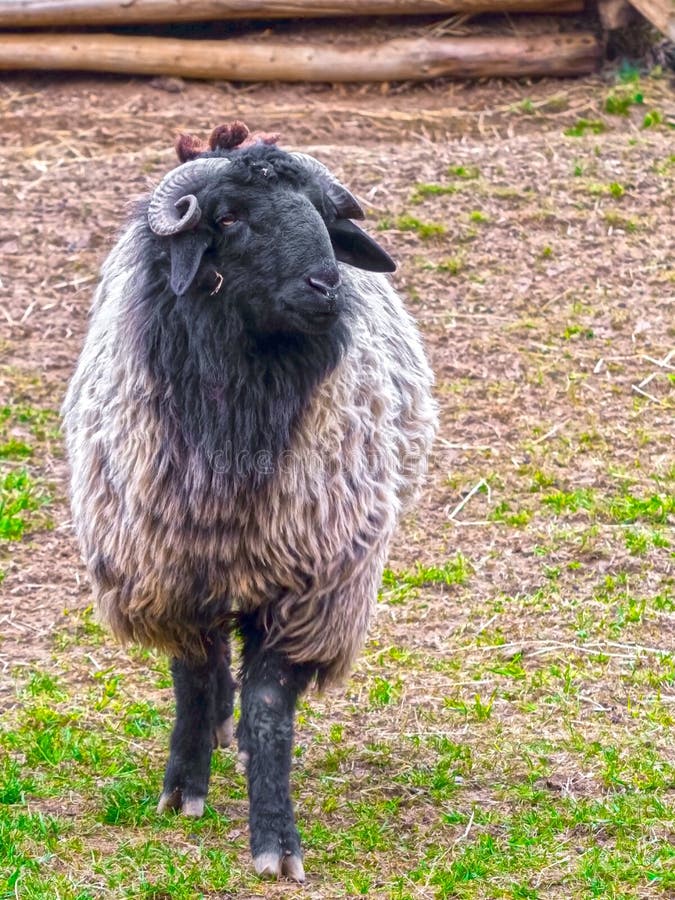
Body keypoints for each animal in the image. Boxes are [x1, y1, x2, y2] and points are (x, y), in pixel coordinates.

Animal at [62, 121, 437, 882]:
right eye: (229, 219)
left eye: (323, 215)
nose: (326, 283)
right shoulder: (166, 571)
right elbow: (193, 676)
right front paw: (183, 787)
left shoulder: (315, 586)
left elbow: (269, 710)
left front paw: (275, 840)